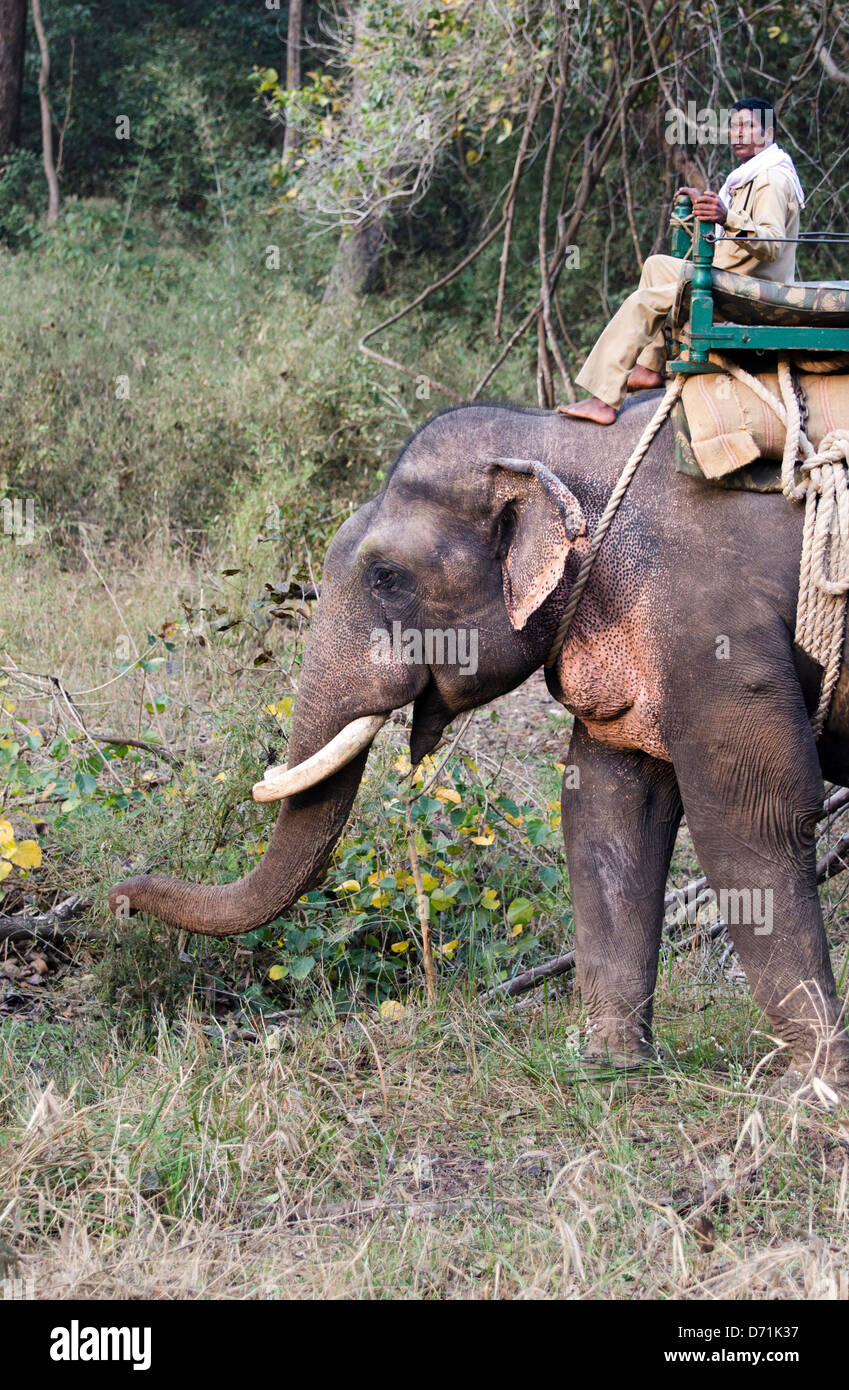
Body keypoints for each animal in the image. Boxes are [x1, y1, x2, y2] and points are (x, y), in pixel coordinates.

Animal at [109, 393, 849, 1099]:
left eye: (385, 577)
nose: (119, 898)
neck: (557, 438)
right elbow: (607, 813)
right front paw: (610, 1069)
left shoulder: (715, 635)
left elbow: (752, 821)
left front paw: (806, 1090)